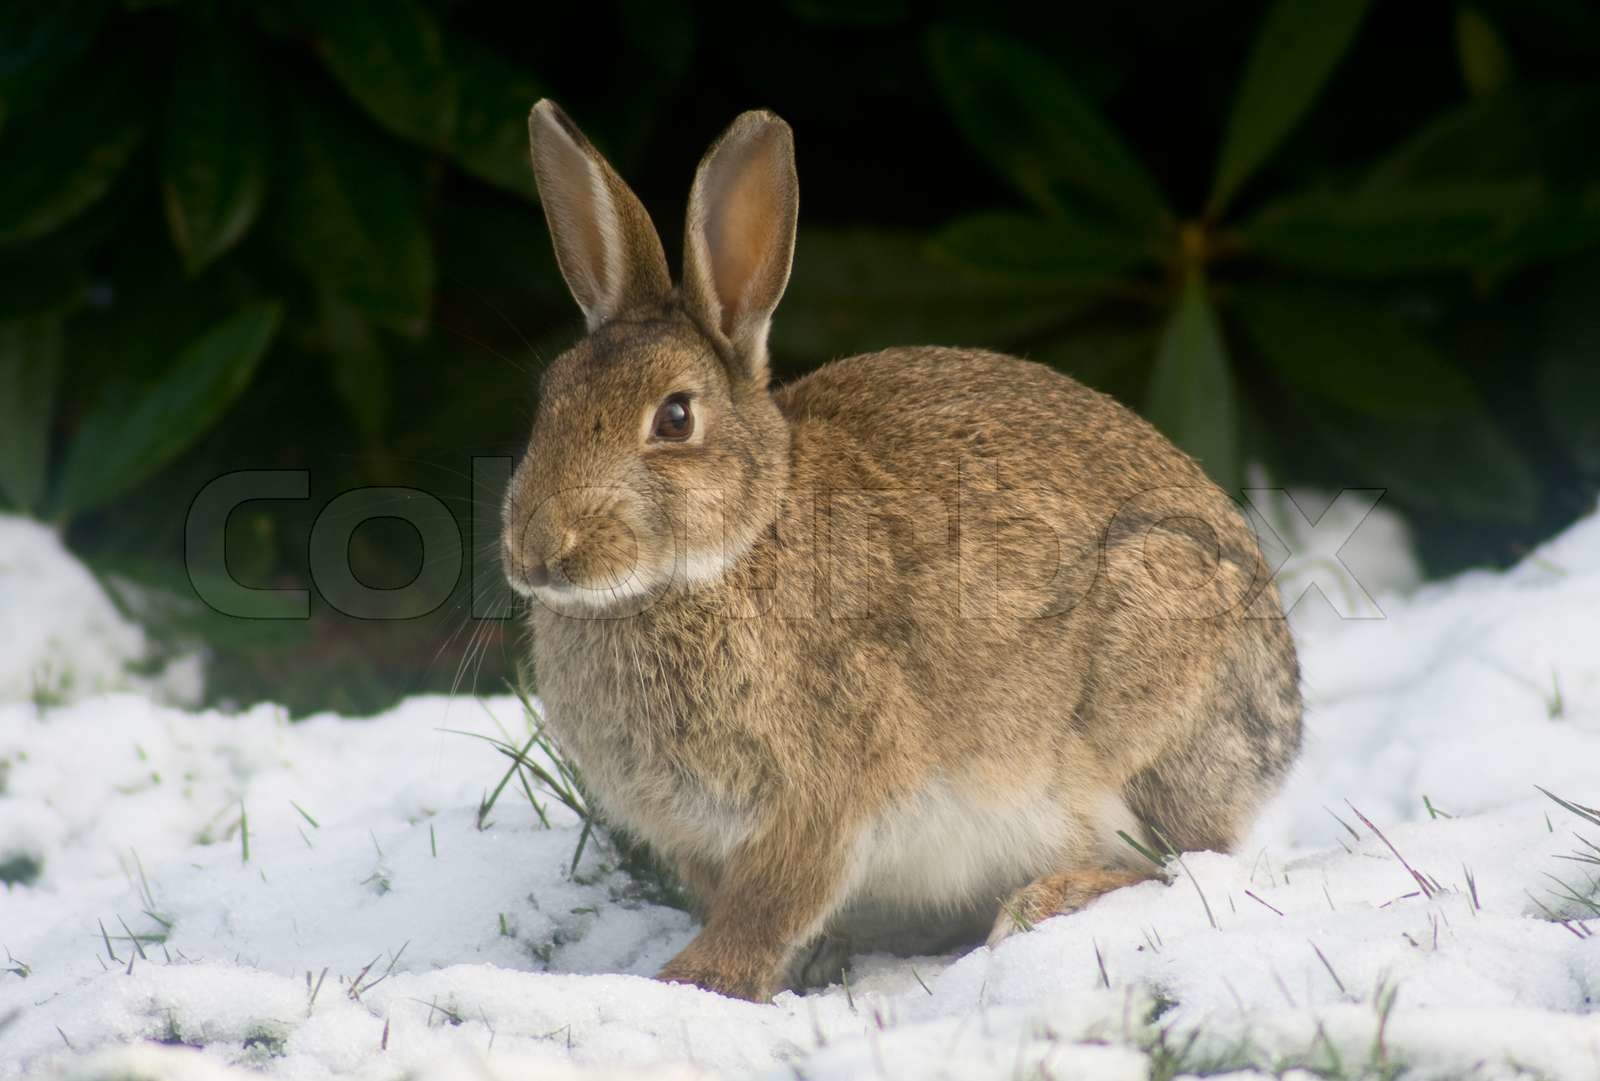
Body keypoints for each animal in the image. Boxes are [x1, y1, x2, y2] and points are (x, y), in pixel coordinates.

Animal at [501, 100, 1303, 1002]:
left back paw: (1038, 903)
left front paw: (695, 979)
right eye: (550, 399)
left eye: (674, 418)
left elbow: (770, 903)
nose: (536, 549)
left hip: (1135, 715)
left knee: (1177, 859)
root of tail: (1283, 728)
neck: (732, 548)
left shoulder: (825, 793)